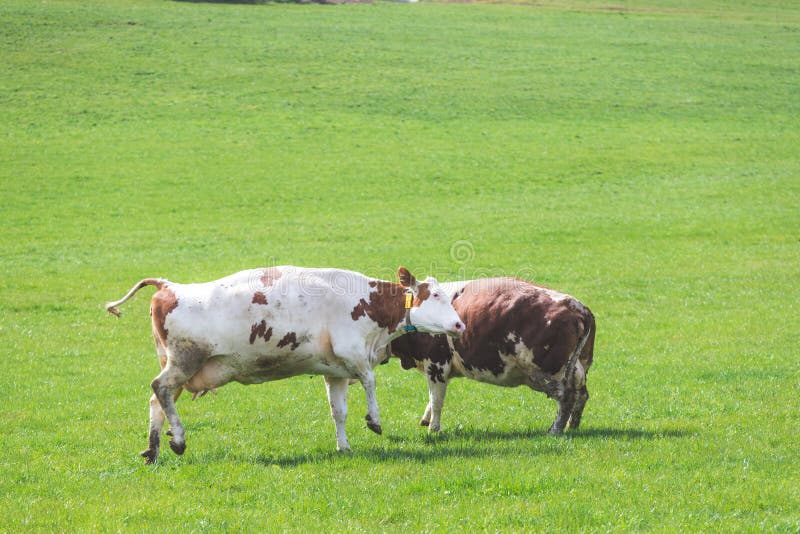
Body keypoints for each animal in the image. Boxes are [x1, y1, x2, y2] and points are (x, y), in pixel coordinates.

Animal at [105, 266, 464, 463]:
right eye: (434, 296)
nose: (460, 324)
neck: (365, 300)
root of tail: (169, 287)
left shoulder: (335, 371)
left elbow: (339, 411)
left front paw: (344, 446)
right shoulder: (352, 351)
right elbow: (370, 381)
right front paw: (374, 420)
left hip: (177, 364)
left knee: (157, 400)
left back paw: (153, 450)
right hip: (185, 359)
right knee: (160, 388)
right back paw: (178, 439)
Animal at [388, 277, 595, 435]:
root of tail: (577, 307)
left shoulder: (436, 365)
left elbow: (437, 400)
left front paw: (434, 428)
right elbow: (432, 399)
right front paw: (426, 419)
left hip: (546, 372)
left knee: (566, 396)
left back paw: (555, 430)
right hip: (577, 367)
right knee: (581, 394)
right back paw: (572, 426)